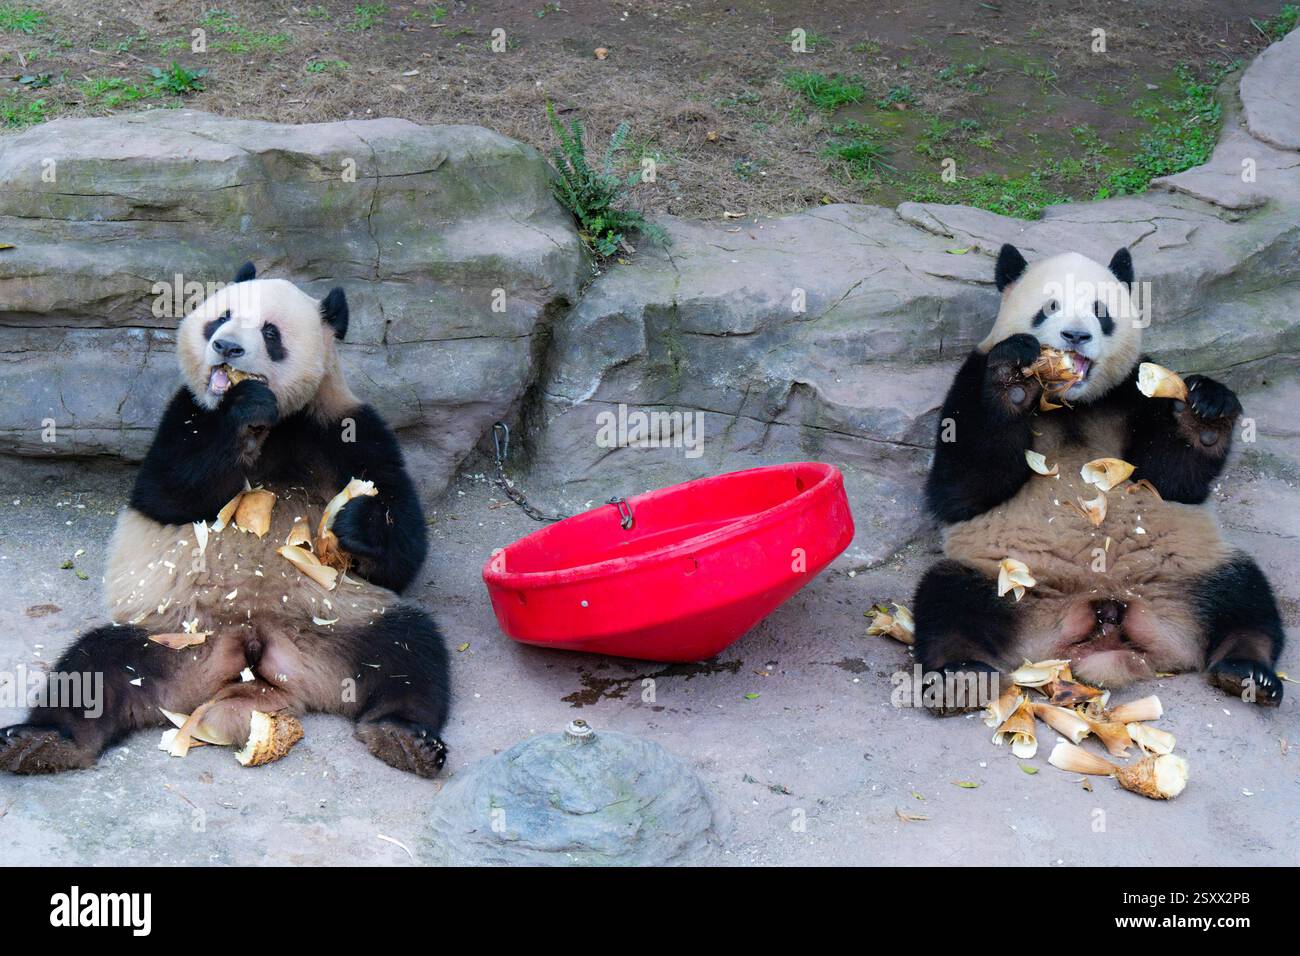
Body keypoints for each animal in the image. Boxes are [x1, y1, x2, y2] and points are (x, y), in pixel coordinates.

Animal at [1, 263, 451, 775]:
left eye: (271, 333)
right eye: (221, 318)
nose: (227, 348)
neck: (276, 422)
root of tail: (250, 661)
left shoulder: (343, 425)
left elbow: (403, 555)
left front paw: (356, 522)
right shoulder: (185, 412)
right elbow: (165, 490)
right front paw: (241, 407)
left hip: (336, 630)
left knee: (409, 649)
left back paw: (403, 736)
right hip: (174, 638)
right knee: (95, 666)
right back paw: (43, 741)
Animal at [913, 243, 1285, 712]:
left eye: (1100, 312)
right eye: (1049, 307)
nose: (1075, 336)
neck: (1071, 402)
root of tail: (1103, 615)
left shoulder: (1134, 390)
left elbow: (1172, 480)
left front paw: (1206, 413)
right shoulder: (969, 377)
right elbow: (960, 489)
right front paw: (1014, 377)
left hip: (1187, 571)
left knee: (1245, 600)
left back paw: (1247, 671)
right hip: (1007, 581)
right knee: (949, 602)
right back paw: (960, 678)